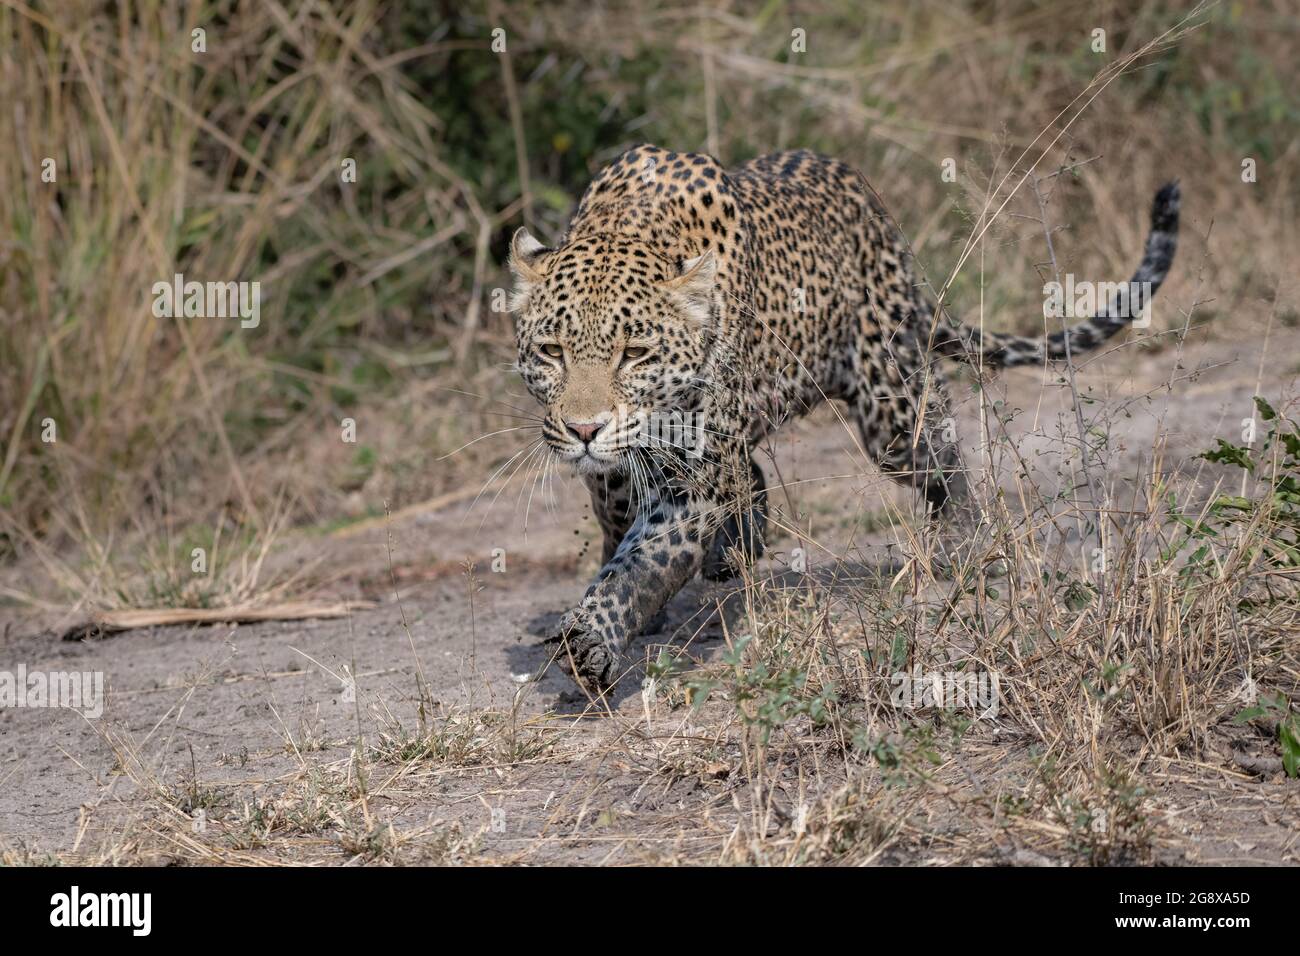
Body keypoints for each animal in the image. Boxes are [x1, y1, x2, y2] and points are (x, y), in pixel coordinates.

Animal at [506, 144, 1179, 694]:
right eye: (552, 351)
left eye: (635, 353)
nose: (584, 429)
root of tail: (875, 209)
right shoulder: (622, 469)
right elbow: (621, 526)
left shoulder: (690, 477)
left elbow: (641, 562)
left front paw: (594, 638)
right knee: (749, 472)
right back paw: (739, 546)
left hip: (890, 404)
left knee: (940, 458)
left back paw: (962, 548)